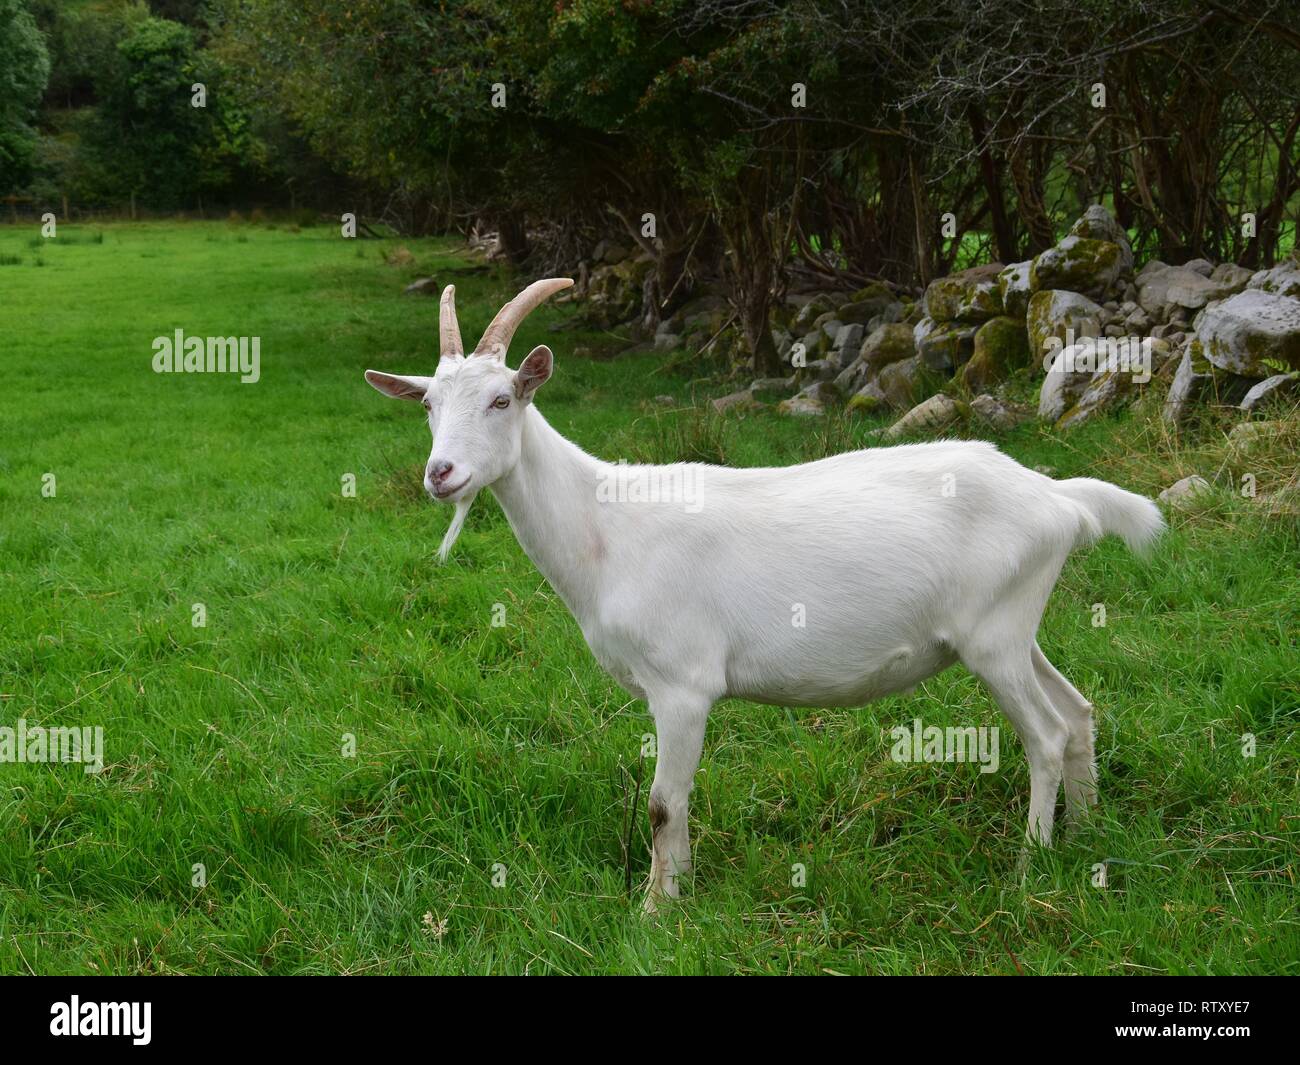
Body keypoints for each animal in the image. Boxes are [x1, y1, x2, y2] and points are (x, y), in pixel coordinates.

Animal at [365, 279, 1165, 909]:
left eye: (502, 399)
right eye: (428, 405)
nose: (440, 474)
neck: (604, 524)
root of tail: (1057, 498)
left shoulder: (683, 684)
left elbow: (662, 804)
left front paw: (655, 913)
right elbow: (675, 805)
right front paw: (680, 890)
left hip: (994, 637)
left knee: (1046, 735)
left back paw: (1030, 865)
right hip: (1014, 628)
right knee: (1078, 711)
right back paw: (1087, 834)